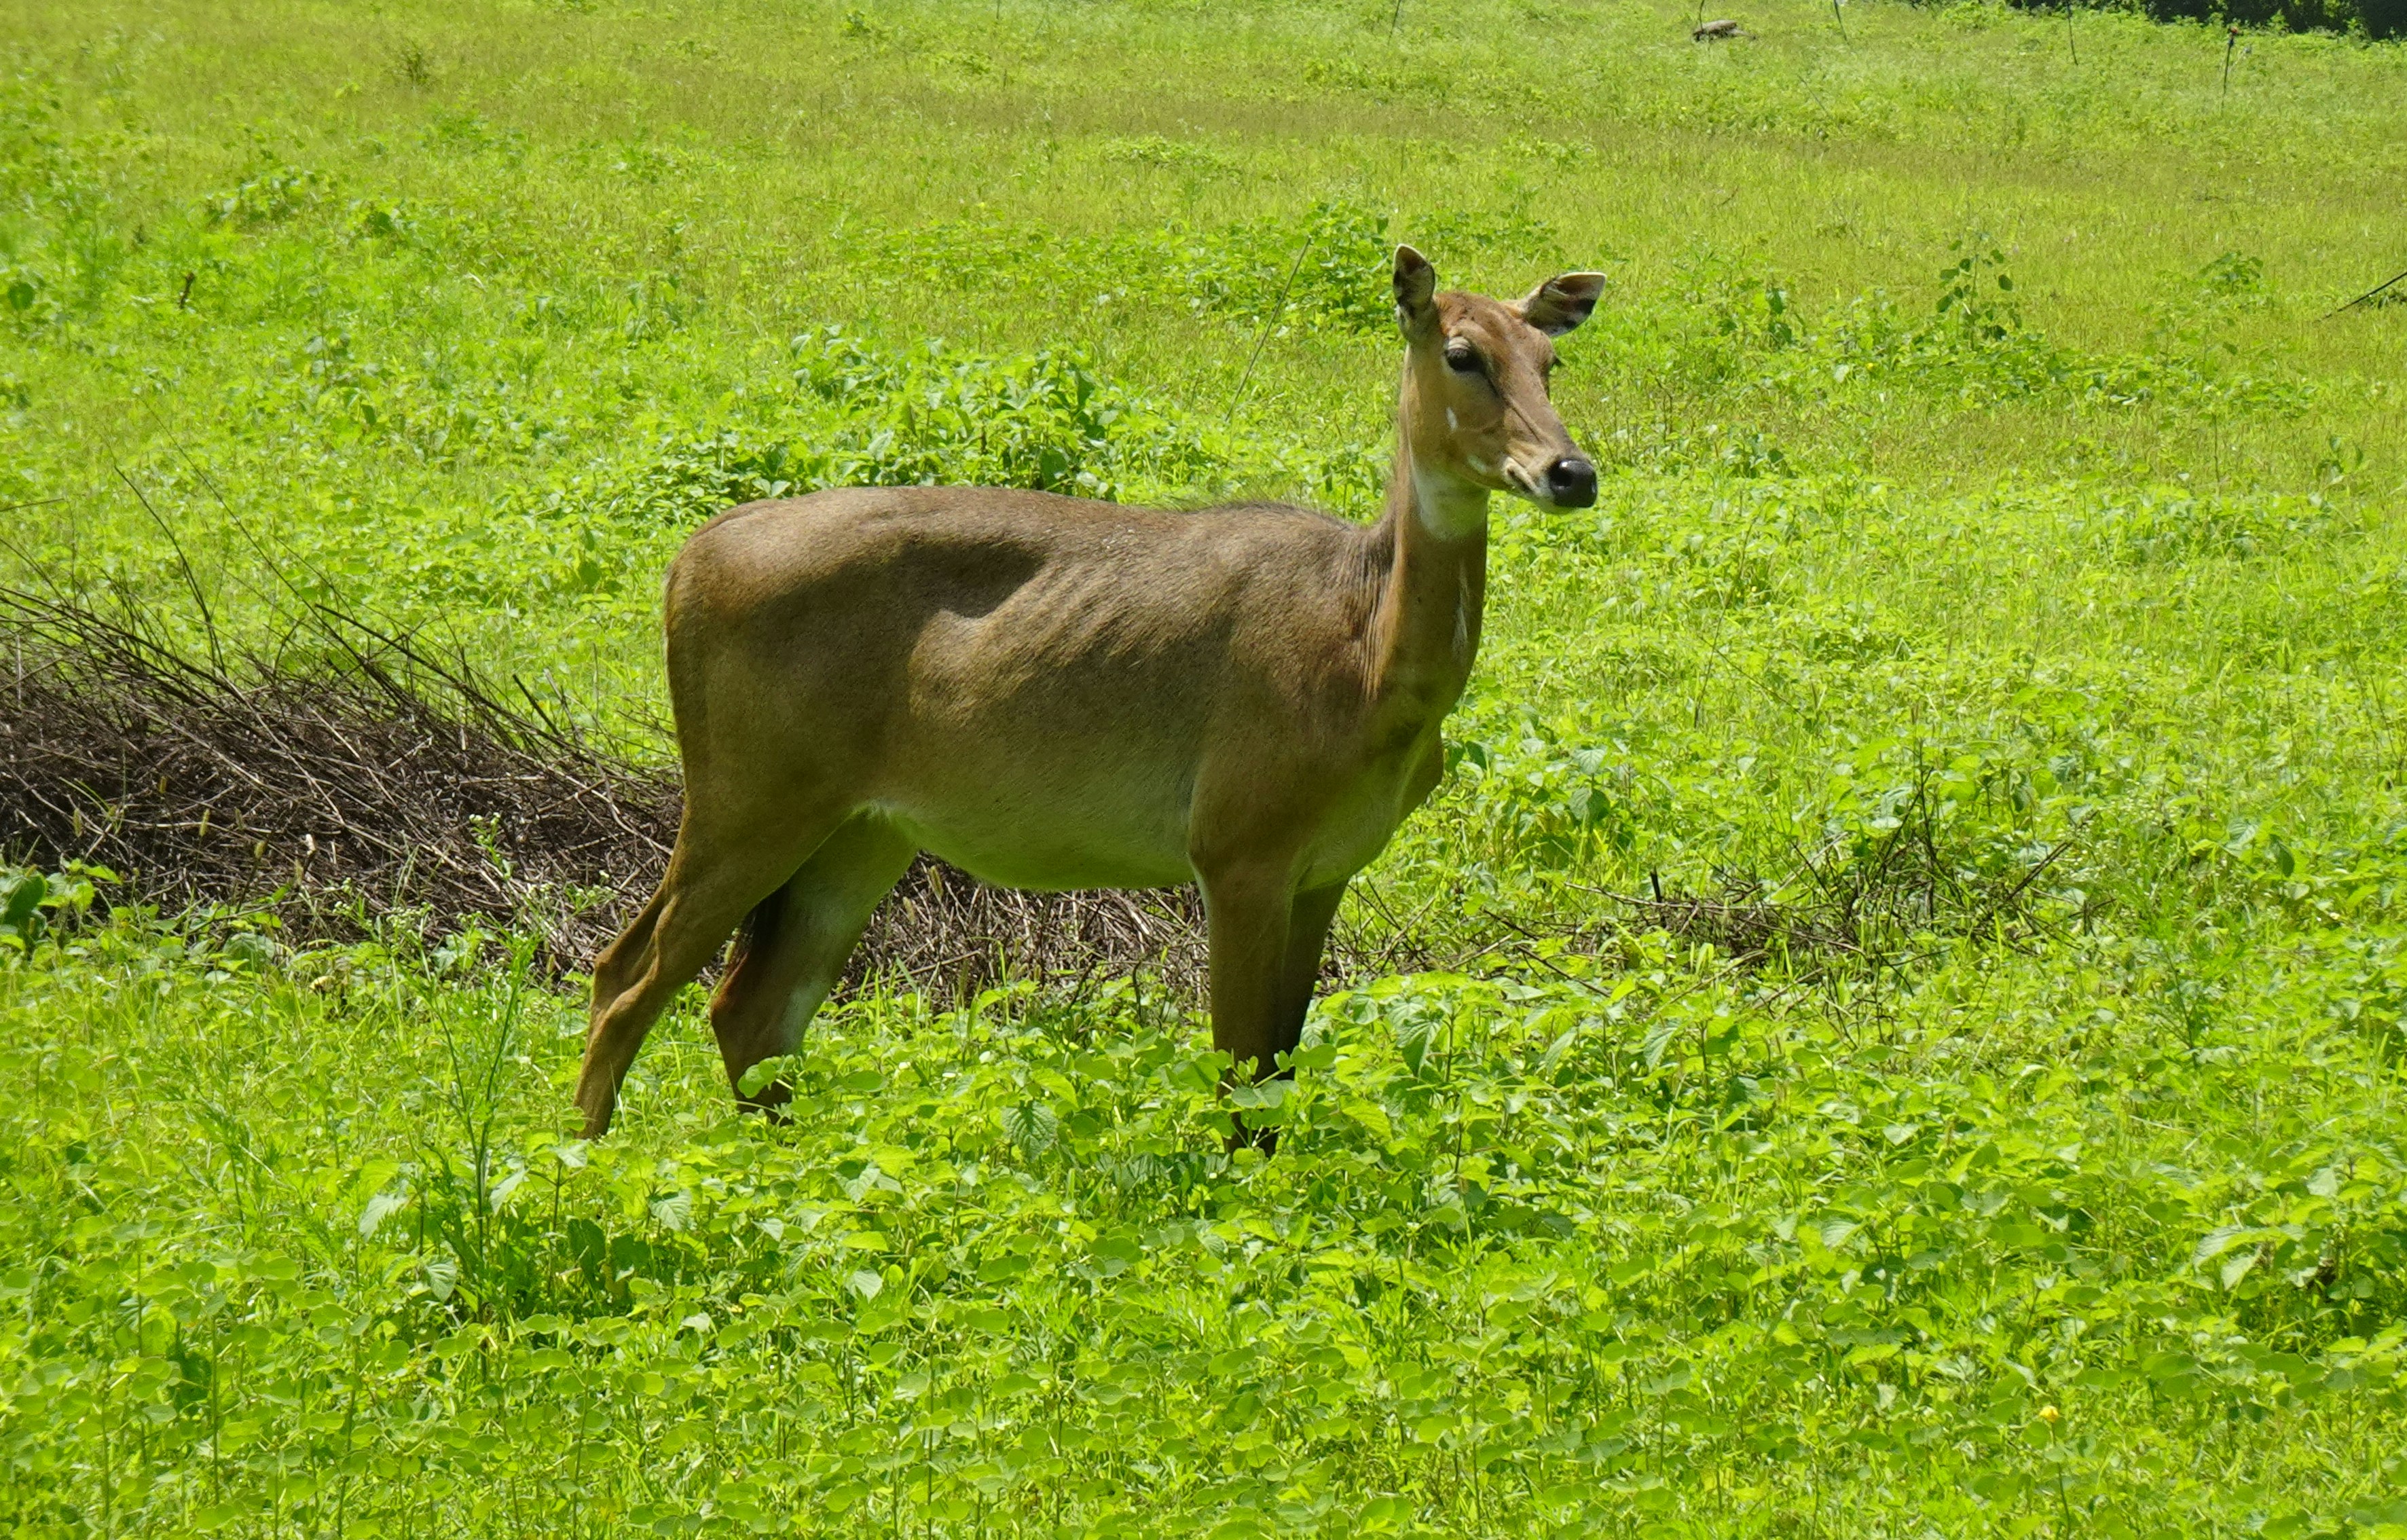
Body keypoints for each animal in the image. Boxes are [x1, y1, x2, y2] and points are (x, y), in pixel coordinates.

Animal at [572, 245, 1604, 1140]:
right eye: (1462, 352)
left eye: (1550, 358)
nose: (1572, 471)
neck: (1367, 666)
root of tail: (686, 565)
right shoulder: (1236, 846)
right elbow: (1238, 1069)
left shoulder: (1327, 866)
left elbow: (1279, 1067)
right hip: (748, 792)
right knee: (626, 974)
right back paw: (584, 1162)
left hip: (862, 827)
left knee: (750, 1010)